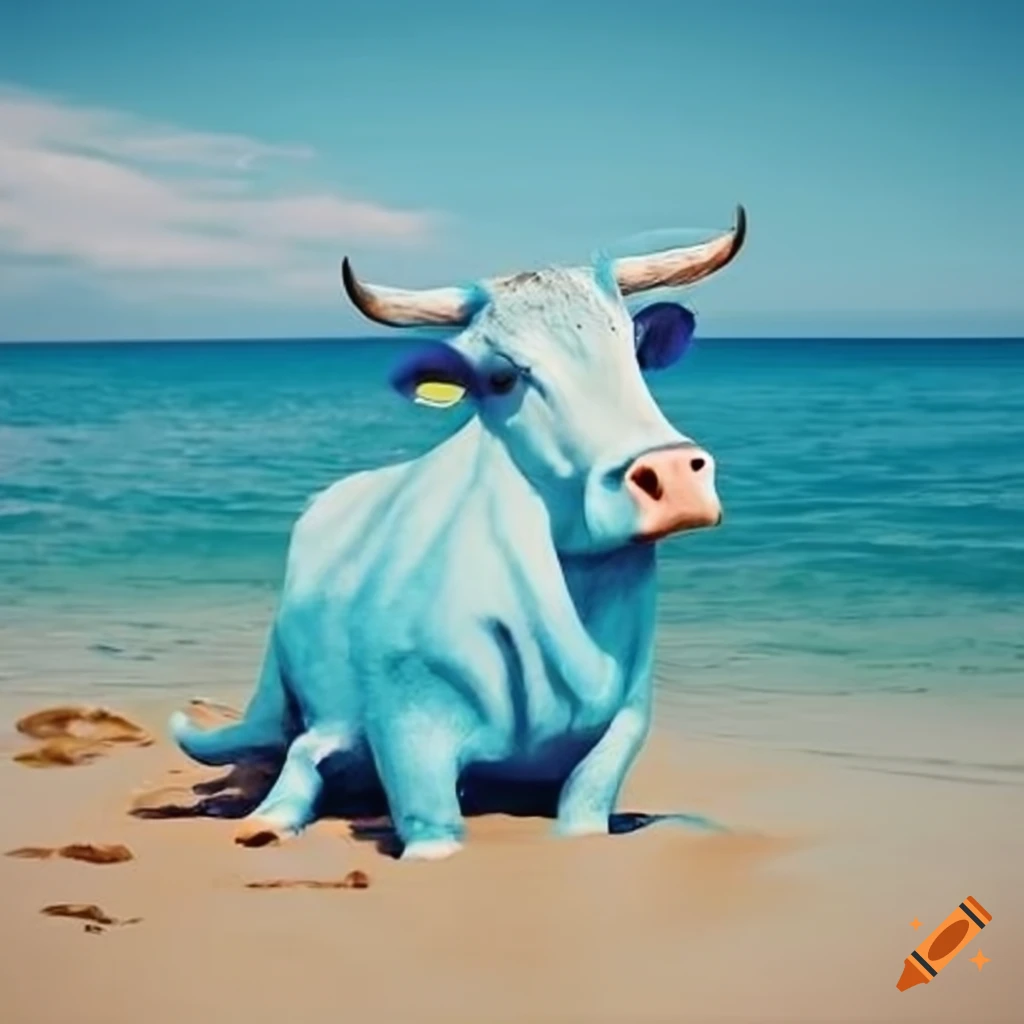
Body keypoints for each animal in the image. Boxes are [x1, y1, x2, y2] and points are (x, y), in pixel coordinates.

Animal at [169, 206, 747, 860]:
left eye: (632, 350)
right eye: (501, 377)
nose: (673, 476)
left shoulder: (625, 721)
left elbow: (586, 809)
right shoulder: (406, 722)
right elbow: (431, 827)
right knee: (305, 752)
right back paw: (267, 820)